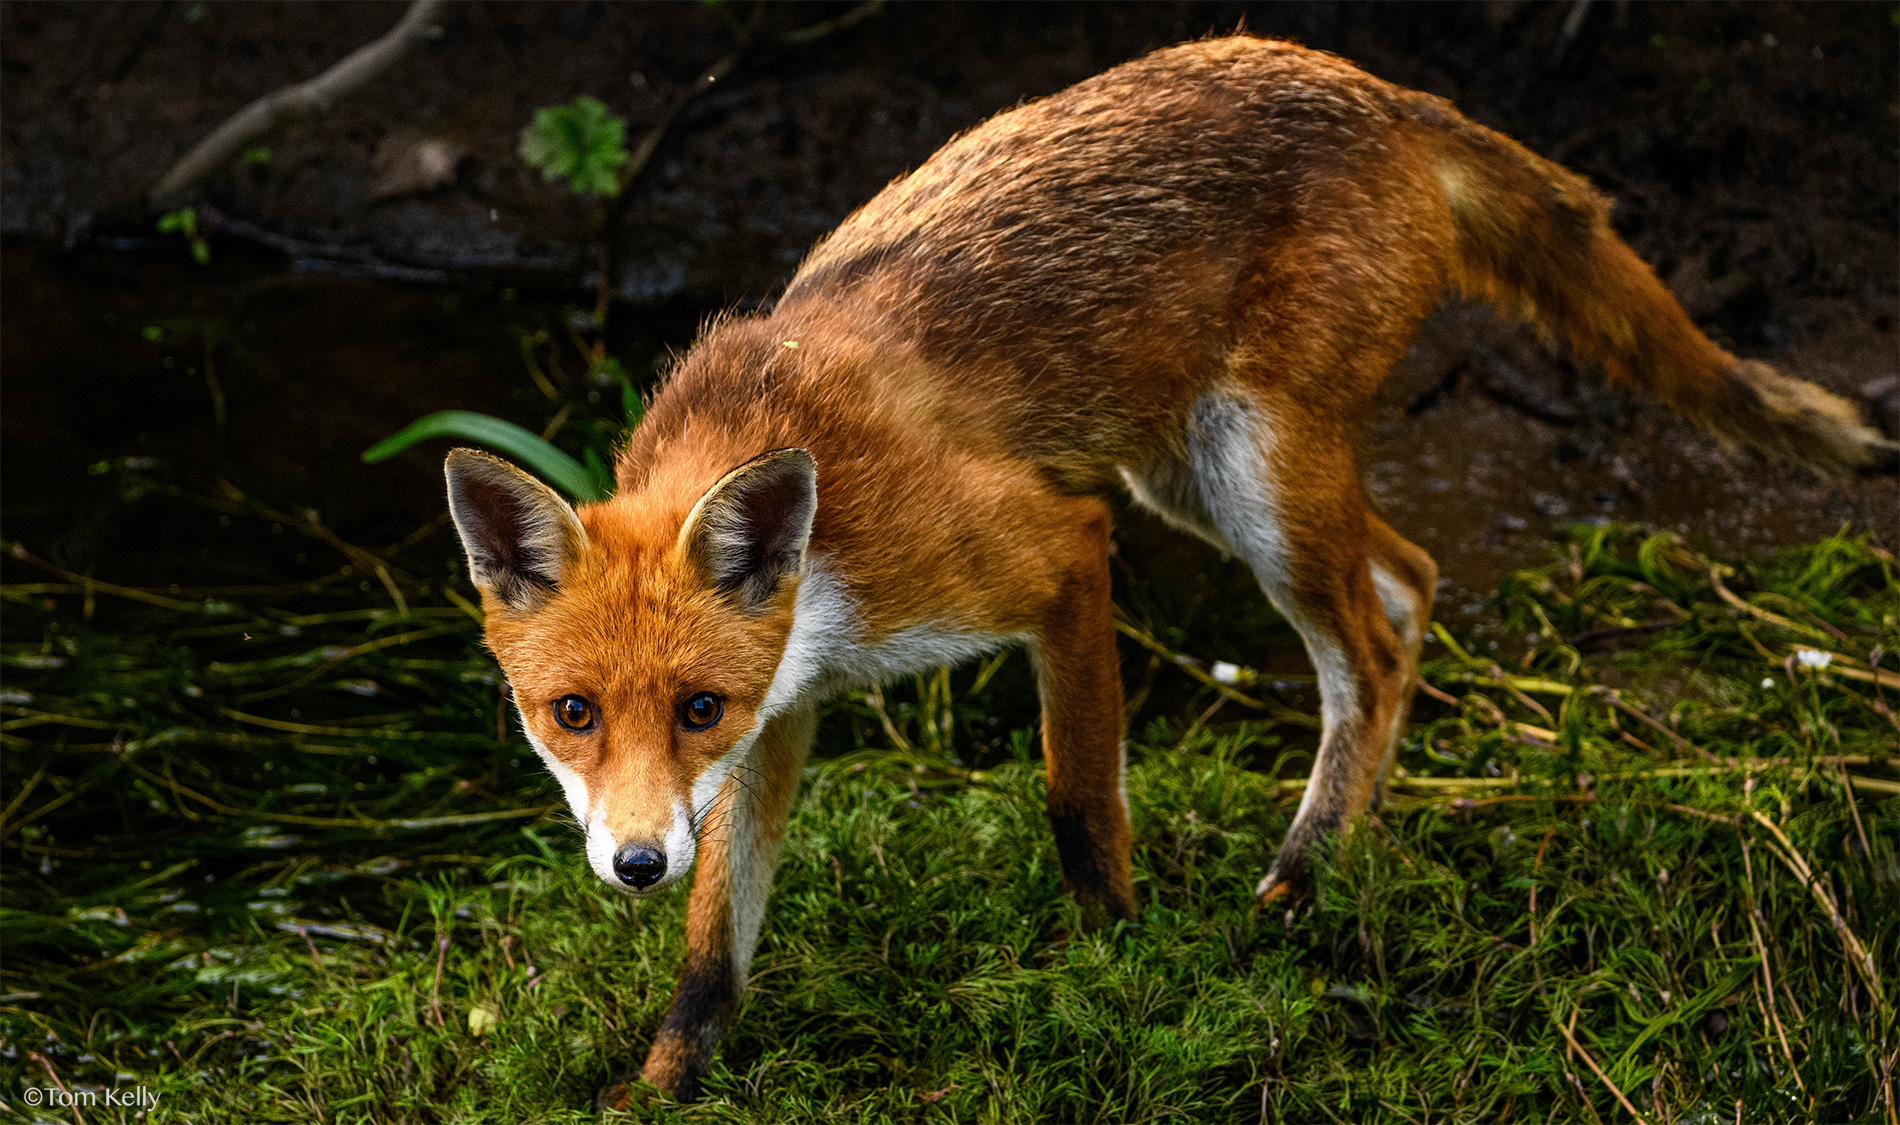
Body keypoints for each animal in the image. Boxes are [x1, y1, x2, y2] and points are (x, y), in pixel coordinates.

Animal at [444, 36, 1890, 1104]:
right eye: (572, 714)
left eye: (695, 707)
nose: (635, 864)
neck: (830, 549)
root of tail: (1376, 92)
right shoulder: (787, 706)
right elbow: (717, 945)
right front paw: (662, 1084)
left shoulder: (1056, 559)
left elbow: (1080, 806)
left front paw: (1115, 986)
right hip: (1200, 482)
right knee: (1414, 580)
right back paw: (1359, 842)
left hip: (1252, 476)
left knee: (1369, 653)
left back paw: (1304, 874)